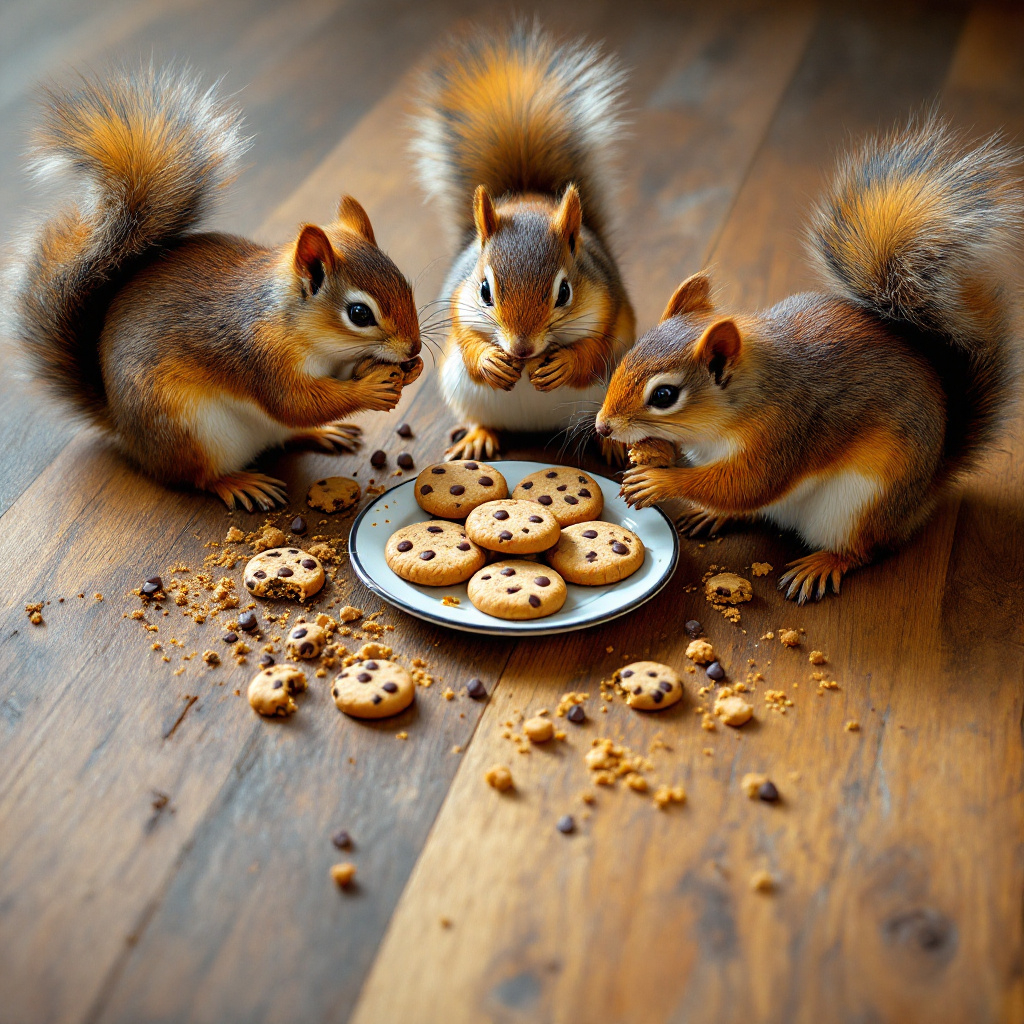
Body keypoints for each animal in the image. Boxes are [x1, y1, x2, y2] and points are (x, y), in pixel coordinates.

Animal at [7, 65, 422, 510]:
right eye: (359, 314)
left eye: (406, 284)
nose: (414, 348)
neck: (302, 331)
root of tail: (126, 432)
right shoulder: (259, 358)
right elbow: (297, 403)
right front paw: (371, 387)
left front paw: (407, 373)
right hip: (187, 431)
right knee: (199, 476)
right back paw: (238, 482)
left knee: (287, 433)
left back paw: (324, 433)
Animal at [410, 21, 636, 462]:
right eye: (483, 290)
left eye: (565, 292)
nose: (521, 350)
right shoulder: (458, 300)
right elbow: (466, 340)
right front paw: (490, 360)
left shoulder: (610, 305)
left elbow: (595, 349)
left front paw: (566, 364)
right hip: (459, 389)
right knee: (480, 416)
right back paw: (478, 437)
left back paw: (612, 445)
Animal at [596, 117, 1022, 602]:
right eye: (630, 354)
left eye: (664, 396)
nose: (603, 427)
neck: (720, 423)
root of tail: (924, 492)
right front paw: (656, 455)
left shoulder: (786, 432)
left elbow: (746, 484)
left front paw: (661, 480)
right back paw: (713, 515)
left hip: (862, 504)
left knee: (860, 549)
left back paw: (823, 563)